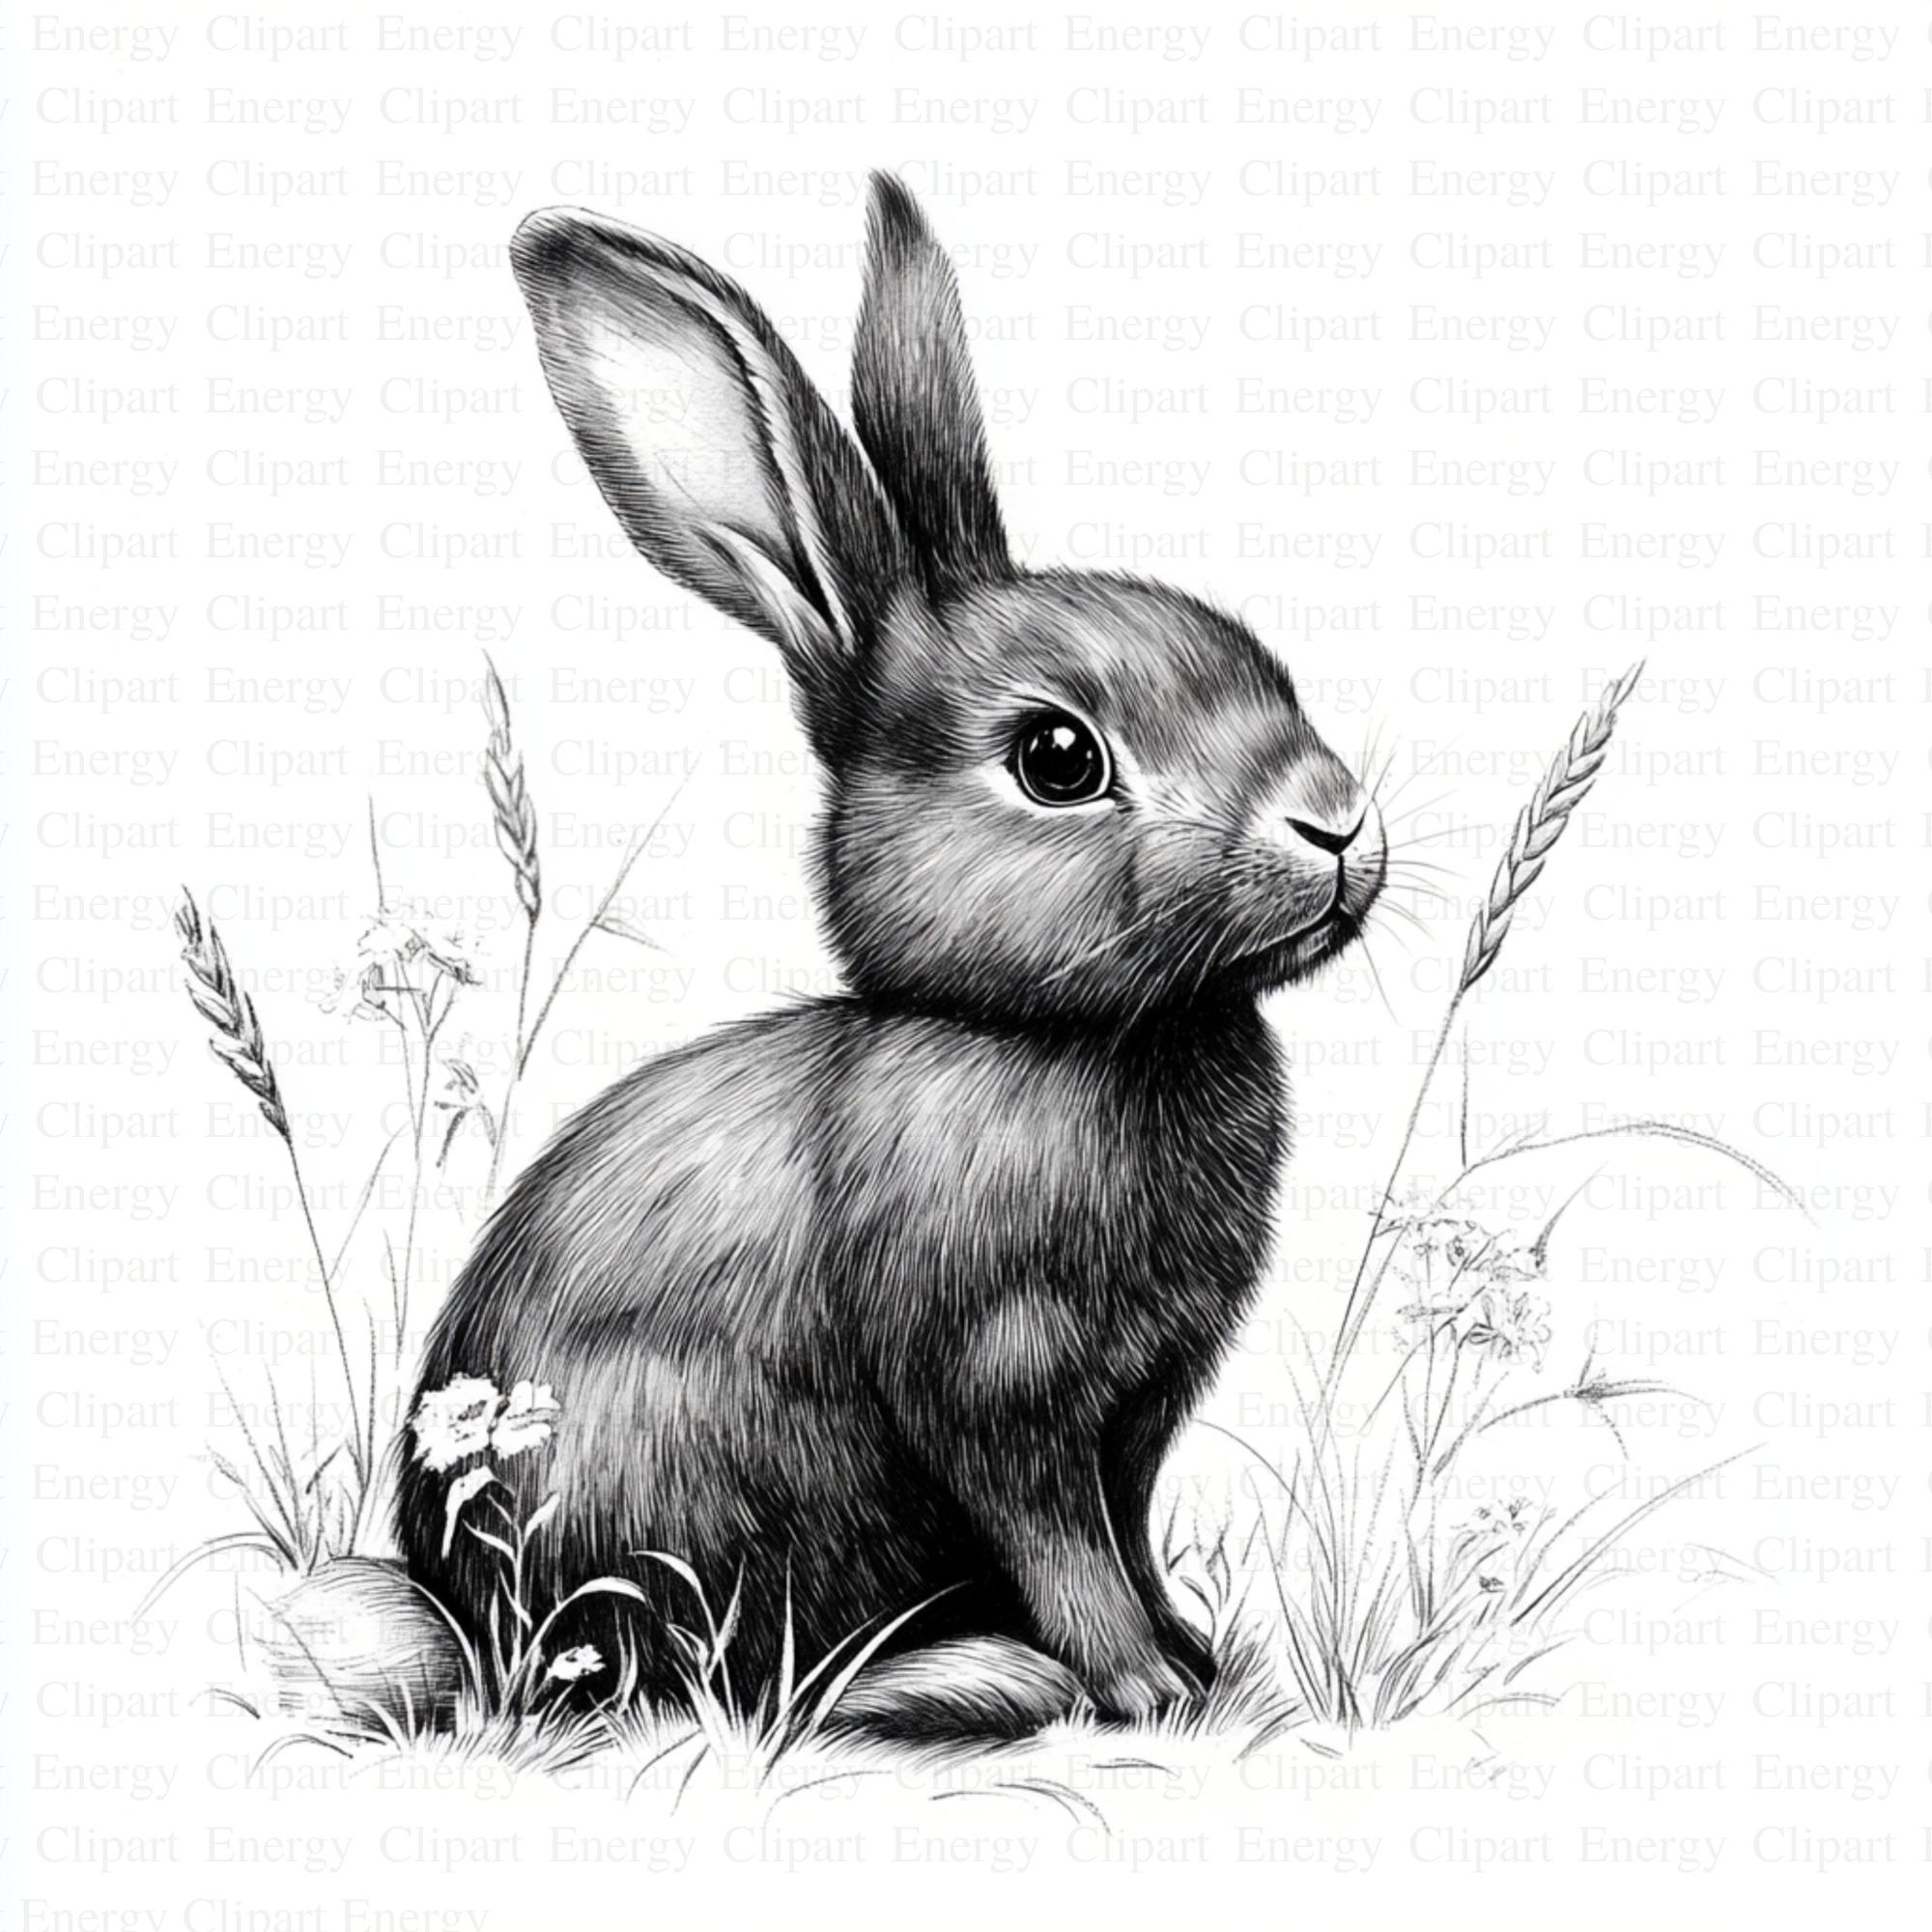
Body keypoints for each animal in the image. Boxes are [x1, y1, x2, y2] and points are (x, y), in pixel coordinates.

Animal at [395, 172, 1386, 1733]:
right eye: (1057, 758)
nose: (1338, 820)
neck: (1051, 1040)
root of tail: (461, 1610)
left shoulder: (1138, 1409)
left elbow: (1126, 1527)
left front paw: (1192, 1653)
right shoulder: (1001, 1388)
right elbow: (1061, 1539)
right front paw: (1139, 1681)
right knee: (729, 1679)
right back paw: (968, 1671)